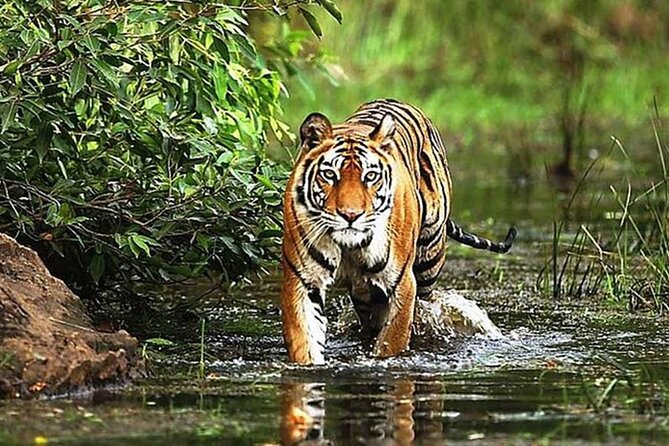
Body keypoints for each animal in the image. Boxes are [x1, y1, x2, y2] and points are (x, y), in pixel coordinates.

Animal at [281, 99, 516, 365]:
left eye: (370, 176)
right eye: (329, 174)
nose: (350, 215)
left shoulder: (401, 283)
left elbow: (392, 339)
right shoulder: (302, 281)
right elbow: (303, 338)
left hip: (429, 262)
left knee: (427, 306)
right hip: (363, 292)